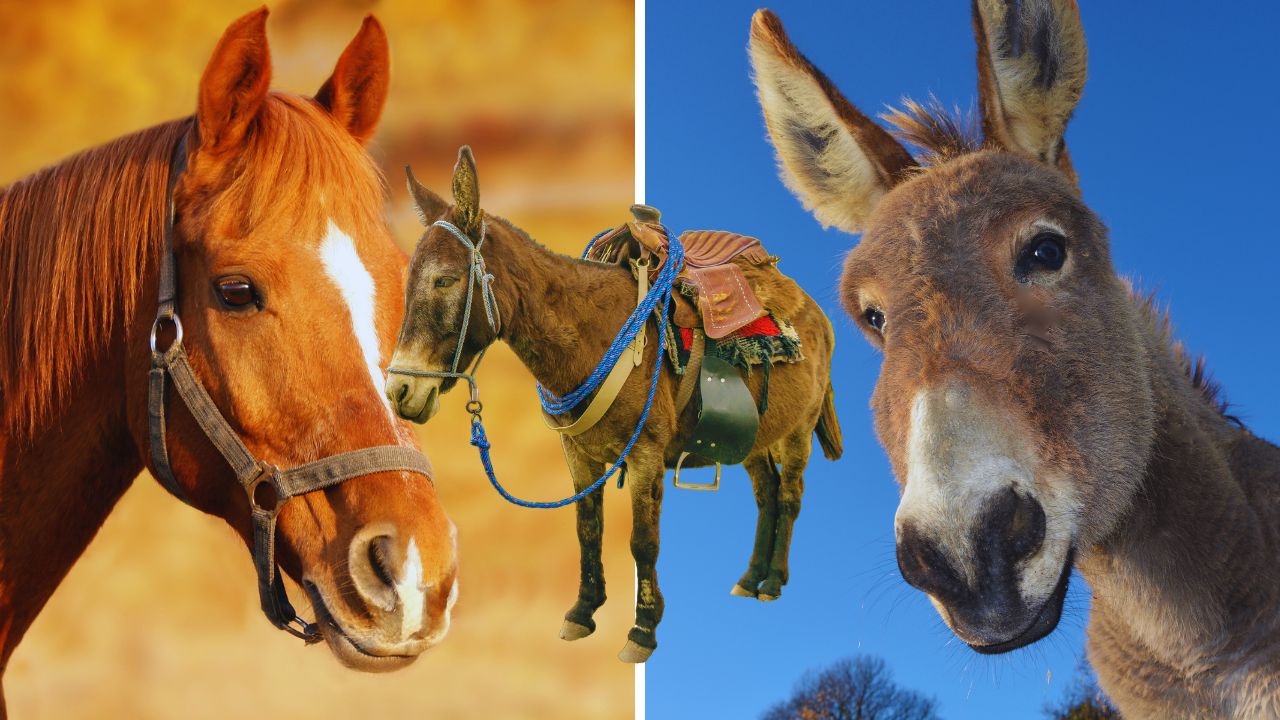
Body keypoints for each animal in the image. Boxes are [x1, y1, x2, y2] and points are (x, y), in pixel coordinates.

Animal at [383, 146, 842, 662]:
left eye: (444, 280)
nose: (400, 390)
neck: (592, 335)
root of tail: (816, 314)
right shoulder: (579, 454)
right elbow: (588, 529)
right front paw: (583, 611)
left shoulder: (645, 455)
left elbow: (643, 543)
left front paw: (642, 629)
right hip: (754, 439)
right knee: (766, 493)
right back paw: (749, 579)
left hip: (797, 432)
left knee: (790, 496)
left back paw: (773, 582)